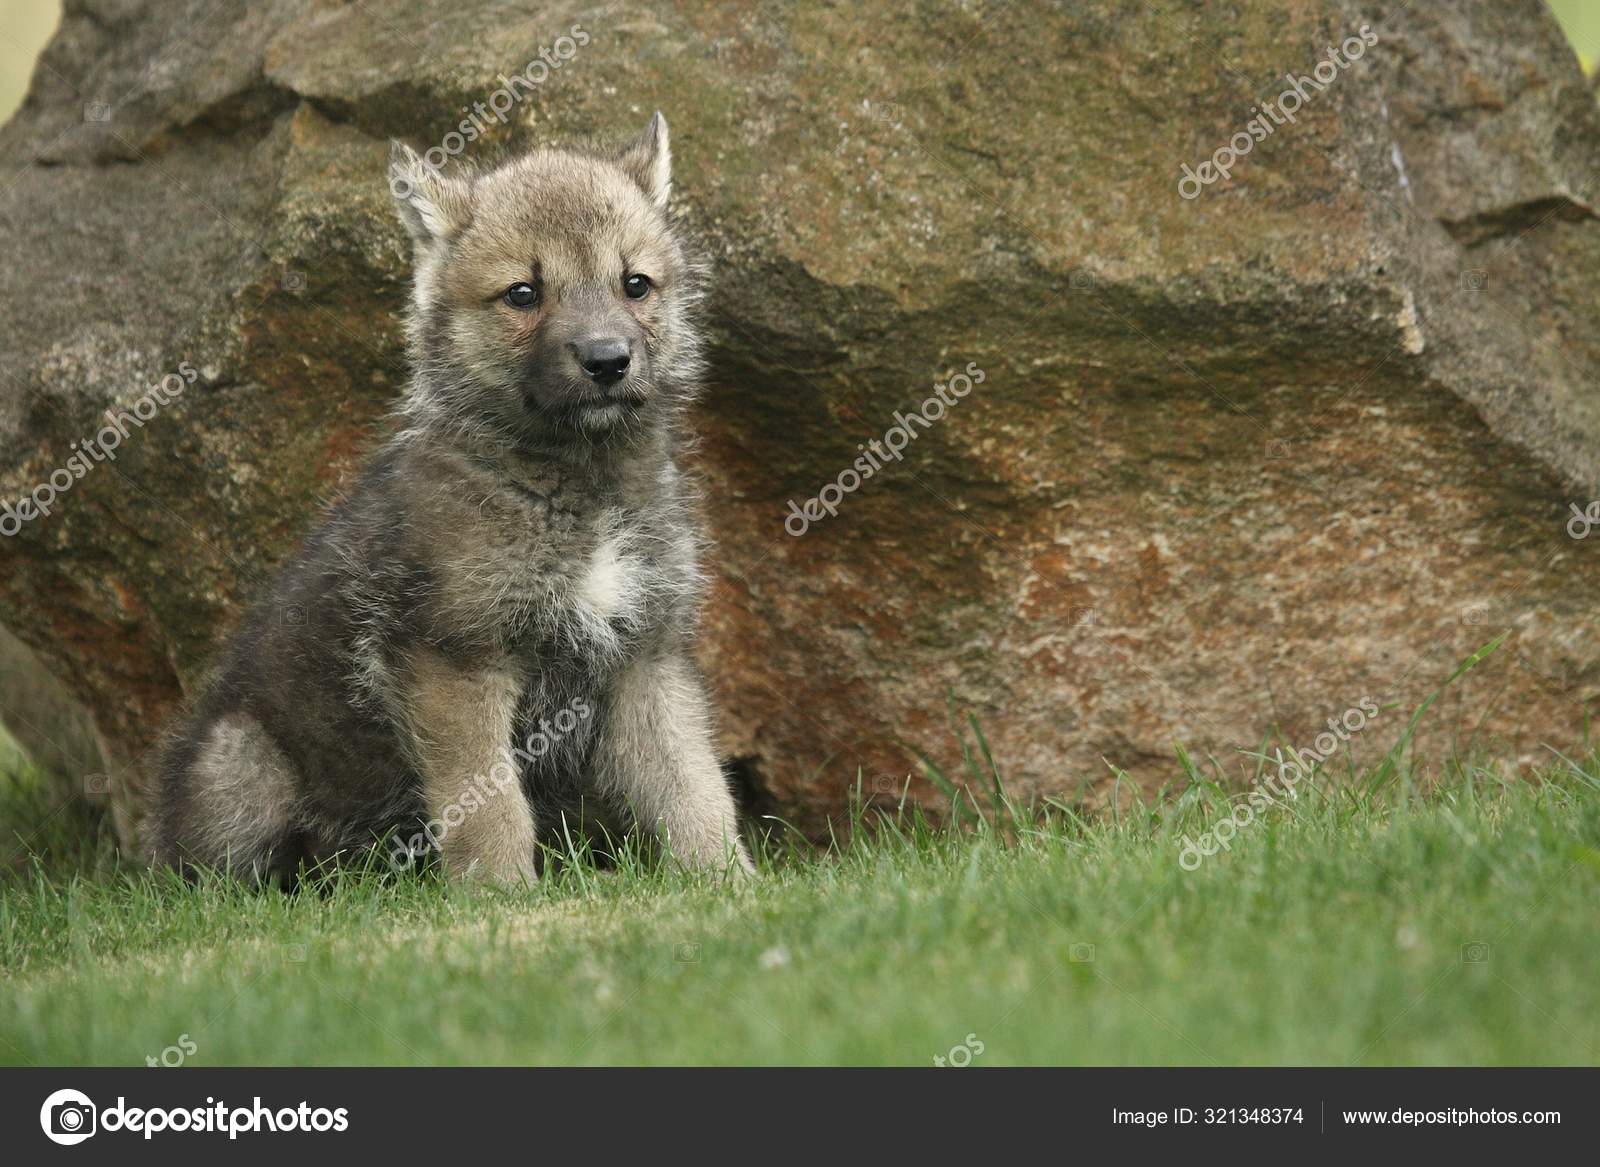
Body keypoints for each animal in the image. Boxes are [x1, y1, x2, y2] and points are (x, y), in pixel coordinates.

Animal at [150, 114, 753, 884]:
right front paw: (502, 891)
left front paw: (730, 882)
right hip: (240, 766)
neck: (577, 485)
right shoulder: (456, 658)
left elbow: (693, 788)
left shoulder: (646, 655)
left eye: (635, 284)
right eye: (523, 293)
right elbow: (488, 803)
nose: (608, 360)